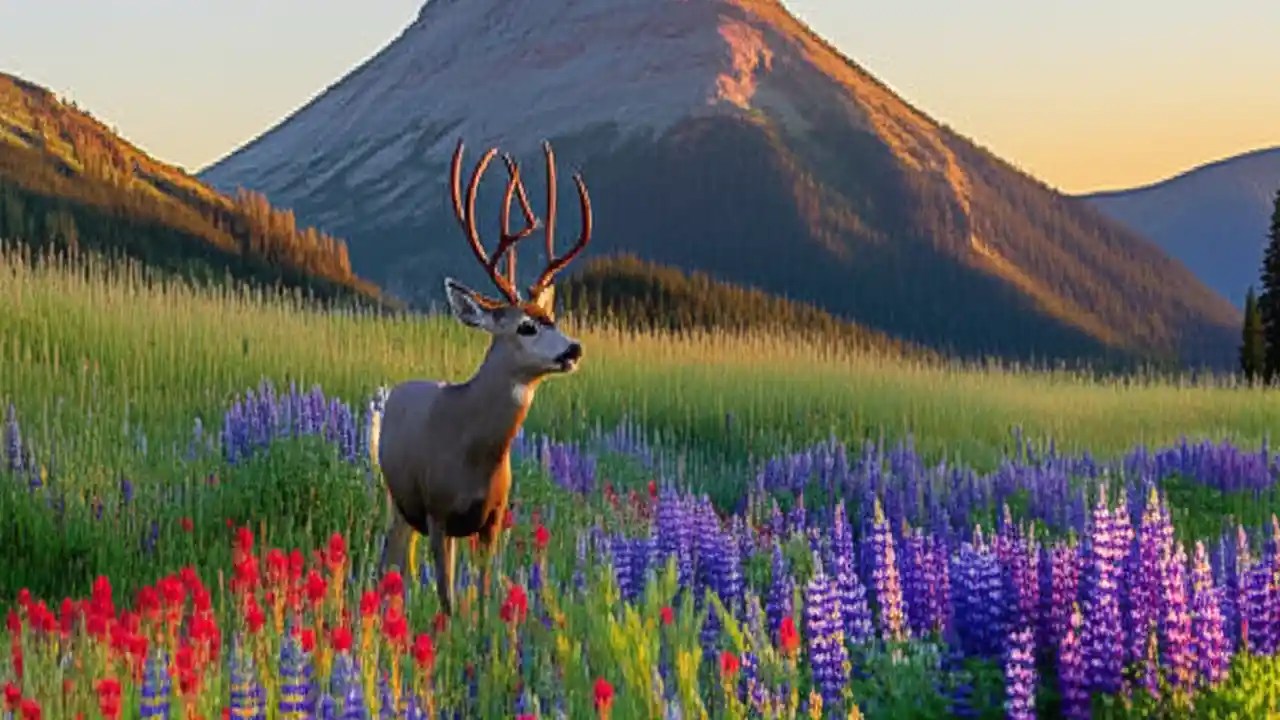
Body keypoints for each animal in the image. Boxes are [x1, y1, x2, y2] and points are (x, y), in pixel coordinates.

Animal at [368, 137, 592, 617]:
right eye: (526, 327)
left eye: (552, 317)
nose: (574, 349)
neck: (473, 453)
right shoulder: (436, 511)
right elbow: (448, 600)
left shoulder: (492, 518)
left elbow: (486, 594)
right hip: (398, 500)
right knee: (389, 562)